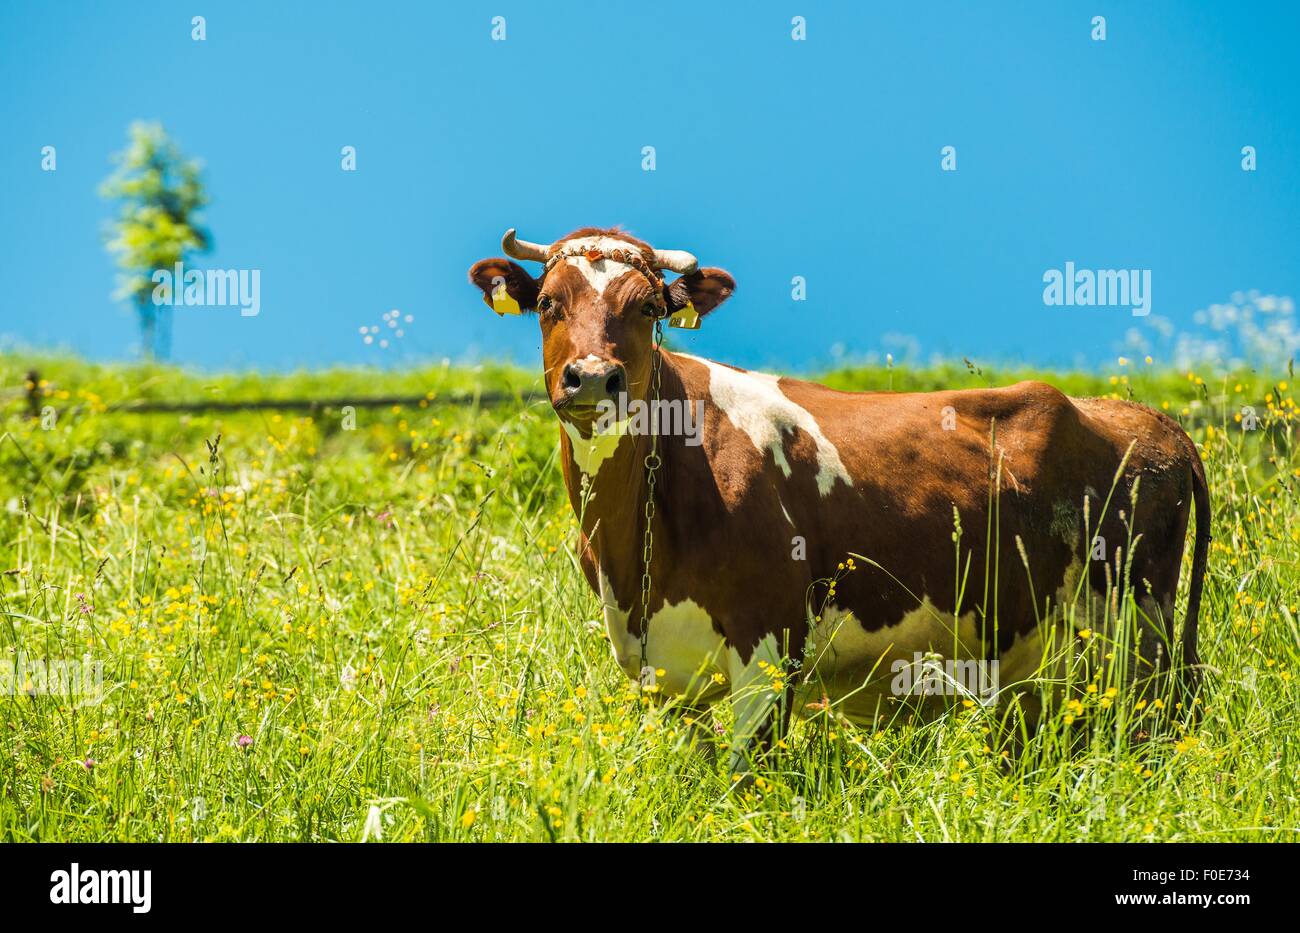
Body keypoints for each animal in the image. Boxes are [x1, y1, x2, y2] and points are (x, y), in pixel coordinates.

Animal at [468, 226, 1210, 773]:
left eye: (648, 308)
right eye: (548, 304)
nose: (593, 377)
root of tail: (1145, 418)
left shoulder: (769, 648)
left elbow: (746, 780)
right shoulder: (659, 668)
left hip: (1137, 633)